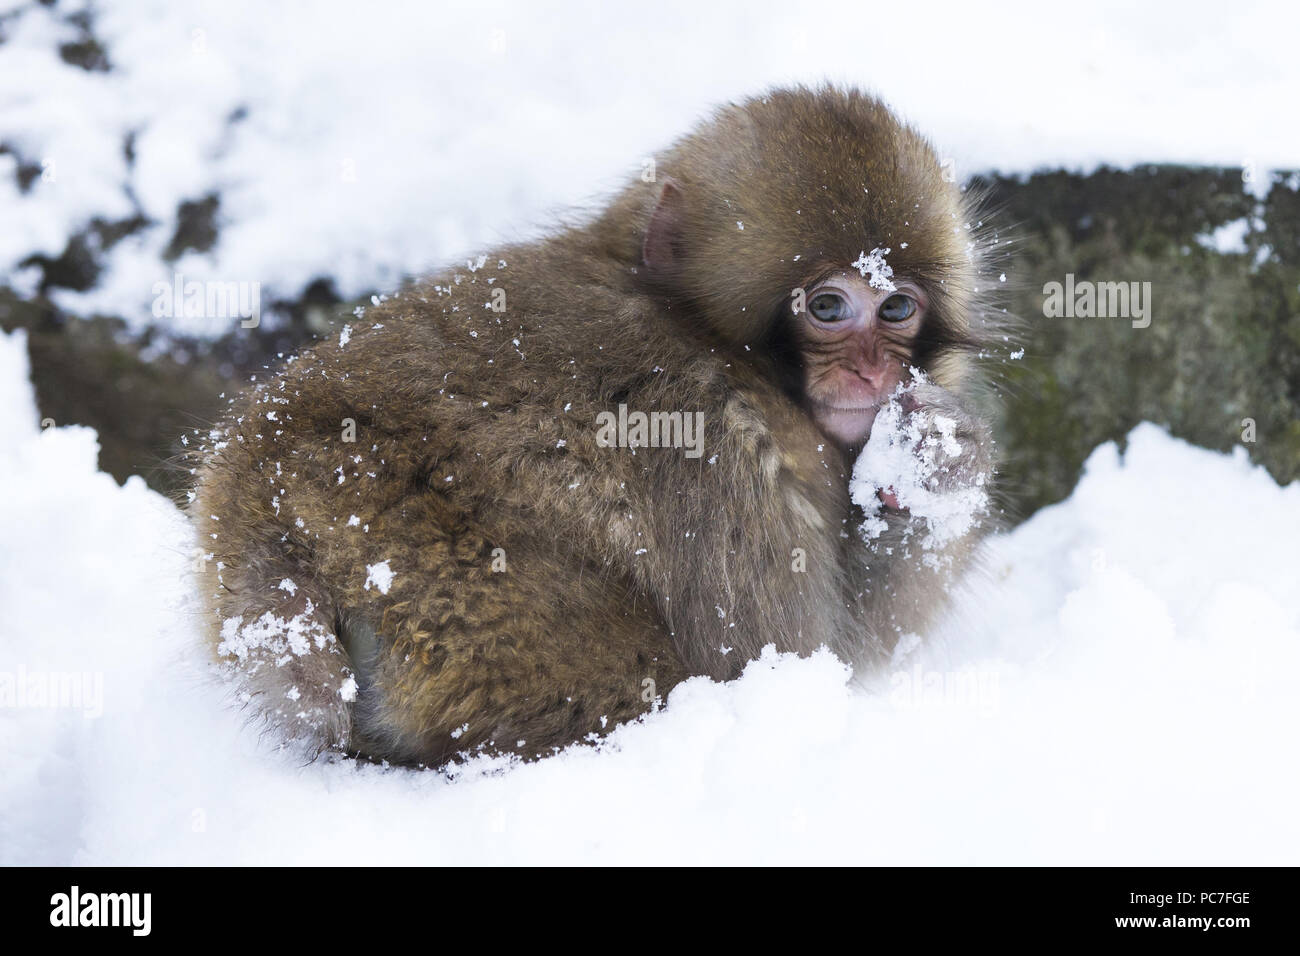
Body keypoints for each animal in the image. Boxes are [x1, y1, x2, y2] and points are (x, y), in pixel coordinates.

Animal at [191, 86, 1005, 768]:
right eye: (830, 306)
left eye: (897, 308)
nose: (872, 372)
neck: (701, 330)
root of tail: (268, 497)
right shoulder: (724, 441)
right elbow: (810, 649)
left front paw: (939, 466)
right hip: (464, 606)